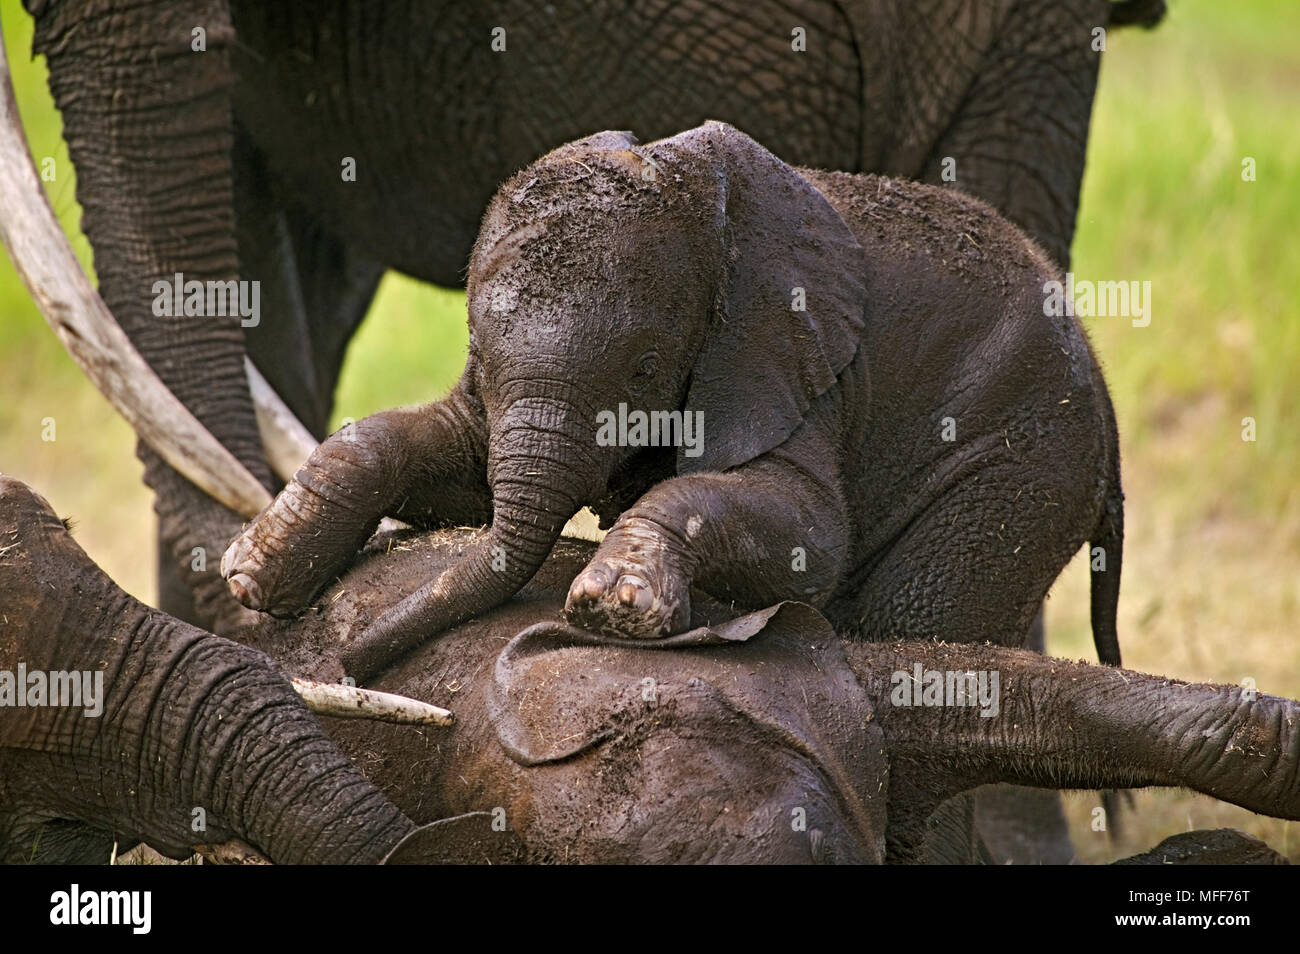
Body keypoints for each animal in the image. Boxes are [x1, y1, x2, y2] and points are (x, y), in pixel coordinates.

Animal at [219, 123, 1125, 700]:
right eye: (476, 343)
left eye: (647, 369)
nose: (342, 668)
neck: (685, 181)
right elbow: (452, 460)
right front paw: (253, 570)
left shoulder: (789, 364)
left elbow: (810, 531)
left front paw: (609, 607)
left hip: (1023, 467)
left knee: (920, 615)